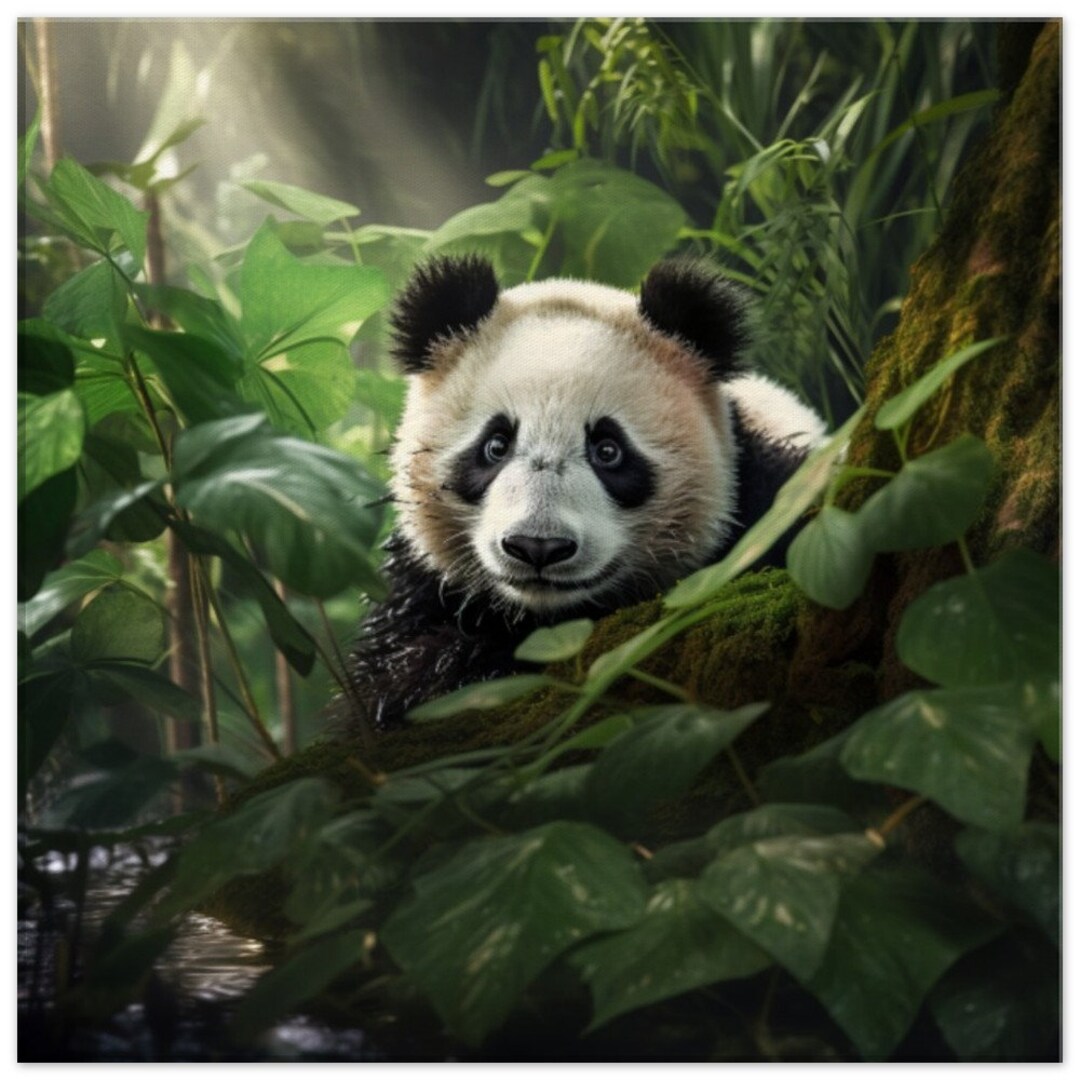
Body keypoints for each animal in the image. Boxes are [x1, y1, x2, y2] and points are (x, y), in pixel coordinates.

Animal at [341, 255, 826, 730]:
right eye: (495, 445)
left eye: (608, 450)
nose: (538, 547)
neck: (550, 618)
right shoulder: (416, 587)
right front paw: (446, 667)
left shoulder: (771, 499)